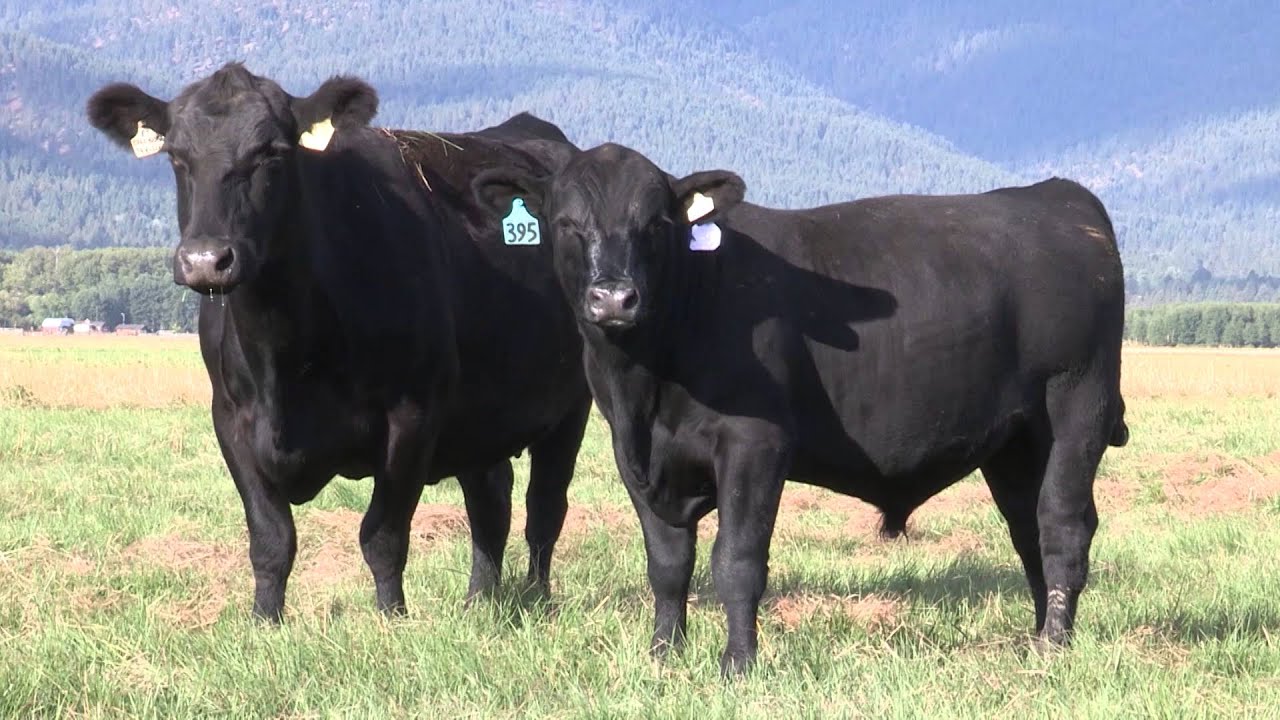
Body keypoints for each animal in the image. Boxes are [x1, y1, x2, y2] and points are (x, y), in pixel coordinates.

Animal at [86, 63, 592, 621]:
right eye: (177, 156)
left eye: (271, 153)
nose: (205, 260)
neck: (284, 360)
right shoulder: (231, 419)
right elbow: (271, 539)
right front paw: (265, 621)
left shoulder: (412, 416)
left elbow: (383, 537)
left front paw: (392, 618)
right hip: (483, 415)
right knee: (490, 500)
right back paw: (478, 600)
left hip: (571, 404)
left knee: (544, 509)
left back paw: (537, 597)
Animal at [472, 142, 1130, 674]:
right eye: (565, 222)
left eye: (655, 223)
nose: (613, 298)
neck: (648, 385)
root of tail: (1061, 200)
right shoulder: (636, 459)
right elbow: (667, 563)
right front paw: (663, 655)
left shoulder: (755, 444)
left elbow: (736, 561)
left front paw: (737, 665)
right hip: (1015, 443)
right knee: (1027, 529)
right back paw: (1038, 635)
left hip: (1077, 409)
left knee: (1063, 527)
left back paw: (1054, 647)